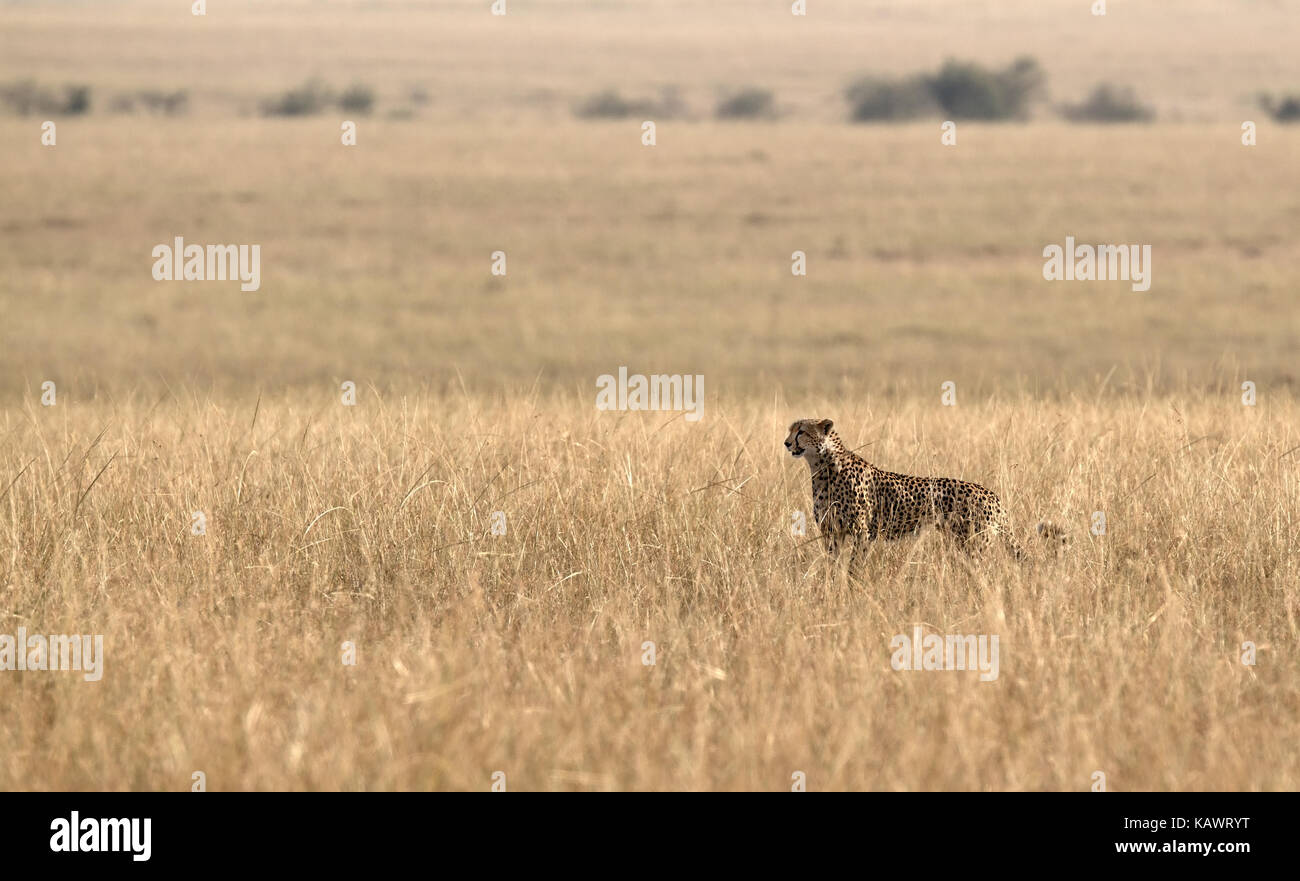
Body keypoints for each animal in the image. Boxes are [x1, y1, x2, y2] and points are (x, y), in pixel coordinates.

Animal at [785, 417, 1064, 563]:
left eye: (801, 431)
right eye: (791, 430)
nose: (787, 443)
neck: (822, 466)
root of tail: (991, 494)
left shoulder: (861, 532)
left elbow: (855, 564)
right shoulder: (831, 531)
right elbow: (833, 564)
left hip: (975, 544)